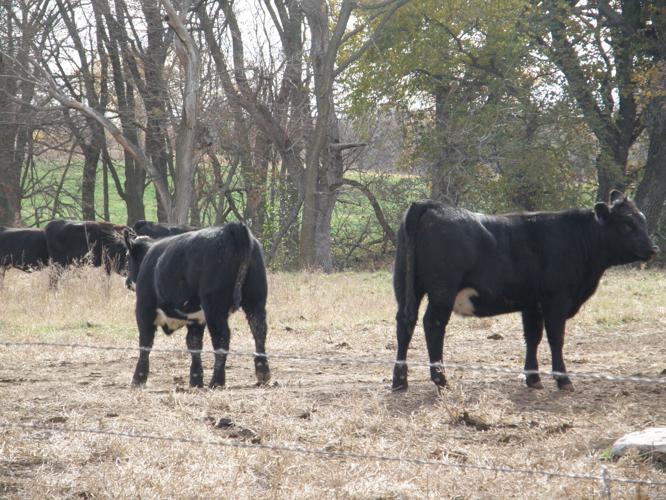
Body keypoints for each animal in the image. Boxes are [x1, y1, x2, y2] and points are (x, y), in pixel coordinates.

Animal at [122, 221, 270, 389]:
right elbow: (194, 344)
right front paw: (196, 379)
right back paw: (262, 373)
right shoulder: (195, 319)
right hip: (255, 300)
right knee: (259, 330)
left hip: (214, 307)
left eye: (127, 257)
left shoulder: (143, 310)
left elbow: (145, 343)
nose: (127, 282)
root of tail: (231, 228)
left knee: (222, 337)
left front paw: (138, 378)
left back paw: (217, 381)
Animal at [392, 190, 659, 392]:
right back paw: (441, 380)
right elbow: (555, 337)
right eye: (627, 225)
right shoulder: (556, 299)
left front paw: (533, 378)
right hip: (442, 292)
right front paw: (563, 379)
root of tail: (432, 205)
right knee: (433, 325)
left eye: (642, 220)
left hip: (406, 287)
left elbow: (532, 337)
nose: (652, 249)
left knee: (405, 325)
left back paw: (399, 381)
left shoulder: (532, 303)